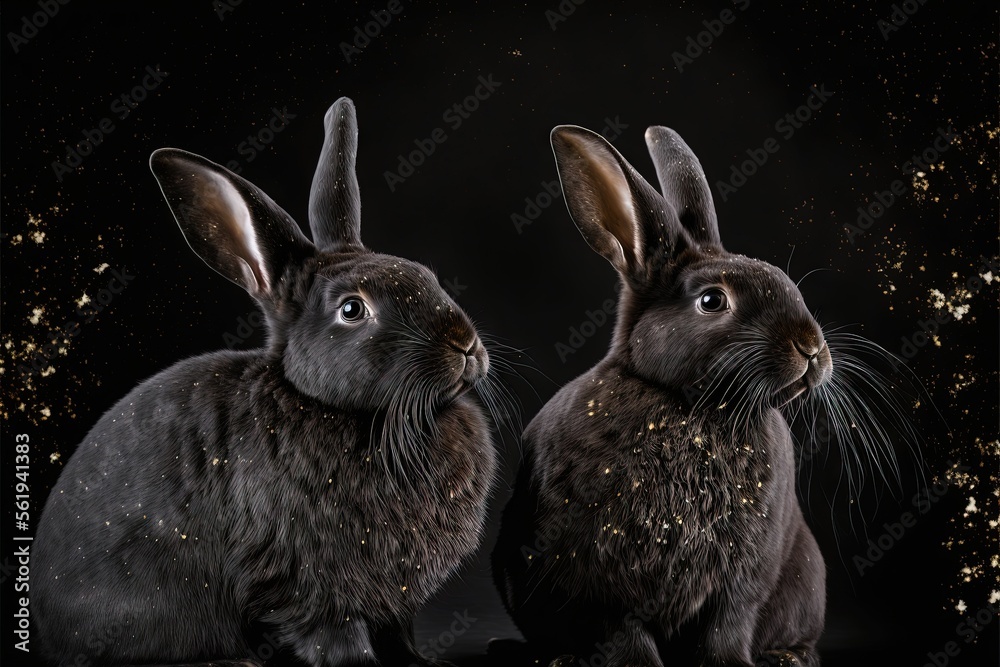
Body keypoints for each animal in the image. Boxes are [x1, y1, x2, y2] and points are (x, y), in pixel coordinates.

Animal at [33, 97, 497, 667]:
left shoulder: (395, 600)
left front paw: (420, 661)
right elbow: (332, 630)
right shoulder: (304, 579)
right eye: (352, 310)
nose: (465, 344)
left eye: (426, 275)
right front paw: (359, 663)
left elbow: (398, 631)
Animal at [491, 124, 830, 667]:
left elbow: (728, 626)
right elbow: (623, 632)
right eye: (712, 300)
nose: (812, 348)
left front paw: (731, 664)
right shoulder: (602, 586)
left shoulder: (741, 583)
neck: (692, 407)